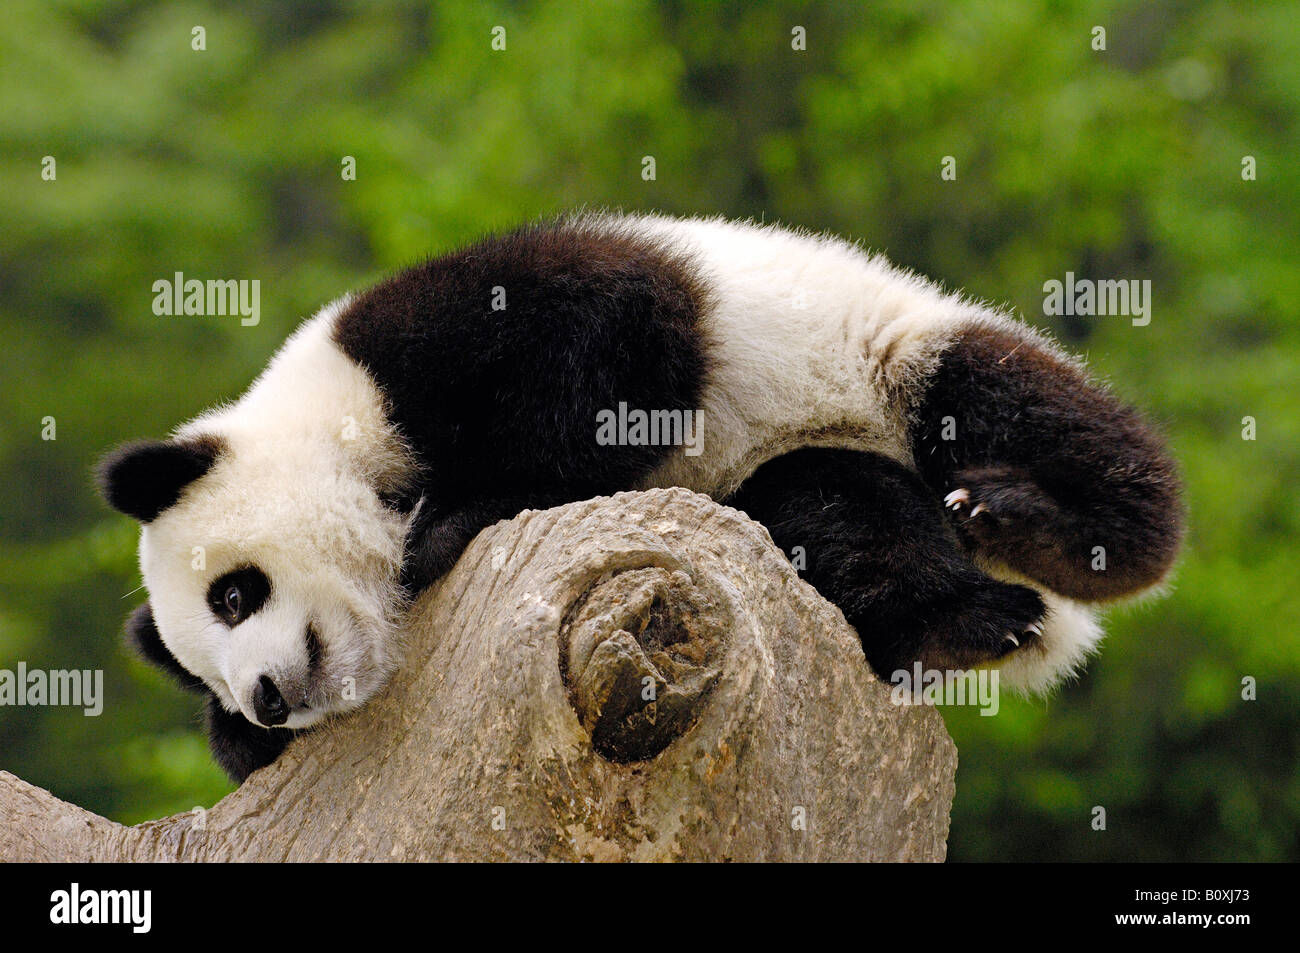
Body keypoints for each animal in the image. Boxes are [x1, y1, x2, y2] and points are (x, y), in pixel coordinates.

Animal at [98, 212, 1184, 781]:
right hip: (807, 471)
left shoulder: (422, 344)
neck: (335, 432)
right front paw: (242, 736)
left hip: (886, 348)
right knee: (841, 516)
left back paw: (1033, 535)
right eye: (206, 669)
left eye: (232, 593)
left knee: (1024, 412)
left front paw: (449, 522)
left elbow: (617, 343)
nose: (269, 695)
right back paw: (958, 620)